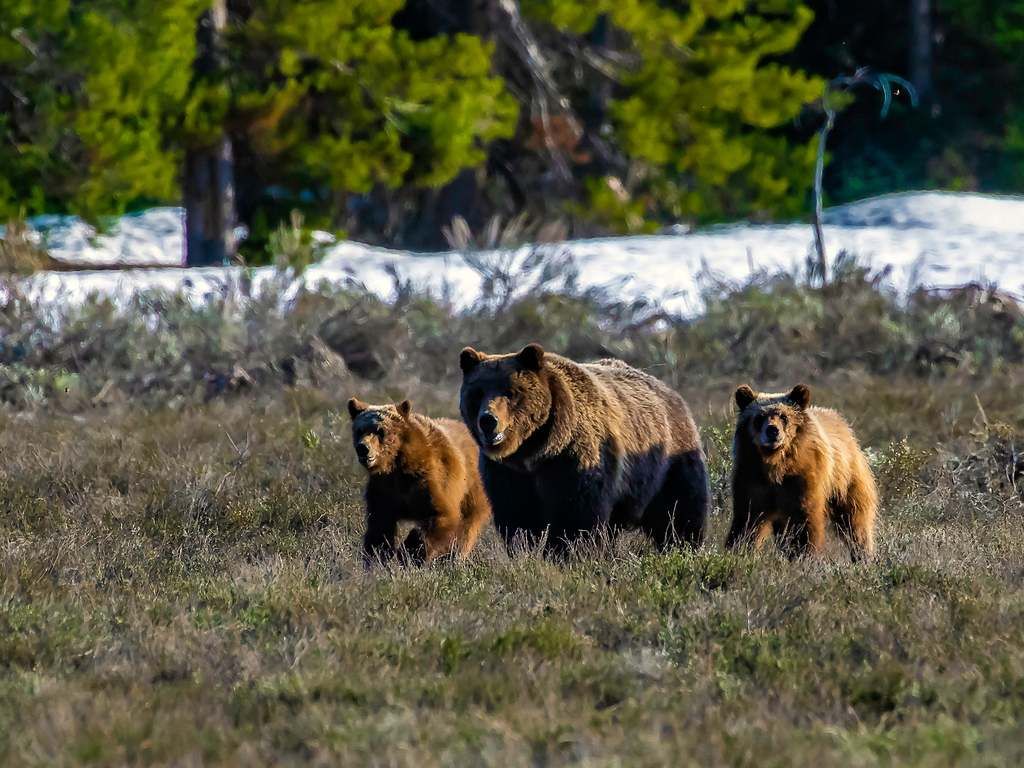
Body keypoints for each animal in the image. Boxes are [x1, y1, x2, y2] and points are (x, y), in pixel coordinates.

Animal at [347, 397, 492, 565]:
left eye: (380, 430)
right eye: (359, 430)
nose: (363, 448)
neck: (397, 466)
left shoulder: (432, 481)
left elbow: (438, 515)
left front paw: (408, 553)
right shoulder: (383, 489)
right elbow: (380, 526)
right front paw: (376, 557)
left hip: (472, 491)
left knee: (466, 529)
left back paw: (452, 558)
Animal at [458, 343, 710, 555]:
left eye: (511, 392)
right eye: (477, 393)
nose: (488, 420)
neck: (535, 451)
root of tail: (670, 391)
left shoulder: (575, 459)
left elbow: (575, 517)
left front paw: (567, 553)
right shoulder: (507, 474)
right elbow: (518, 518)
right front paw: (526, 552)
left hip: (669, 463)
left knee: (679, 512)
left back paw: (683, 547)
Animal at [726, 384, 879, 561]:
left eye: (783, 416)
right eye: (759, 417)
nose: (772, 430)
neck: (775, 464)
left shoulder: (802, 479)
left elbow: (804, 521)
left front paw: (804, 554)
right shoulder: (751, 477)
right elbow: (747, 518)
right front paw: (738, 549)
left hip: (846, 481)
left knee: (855, 520)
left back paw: (863, 554)